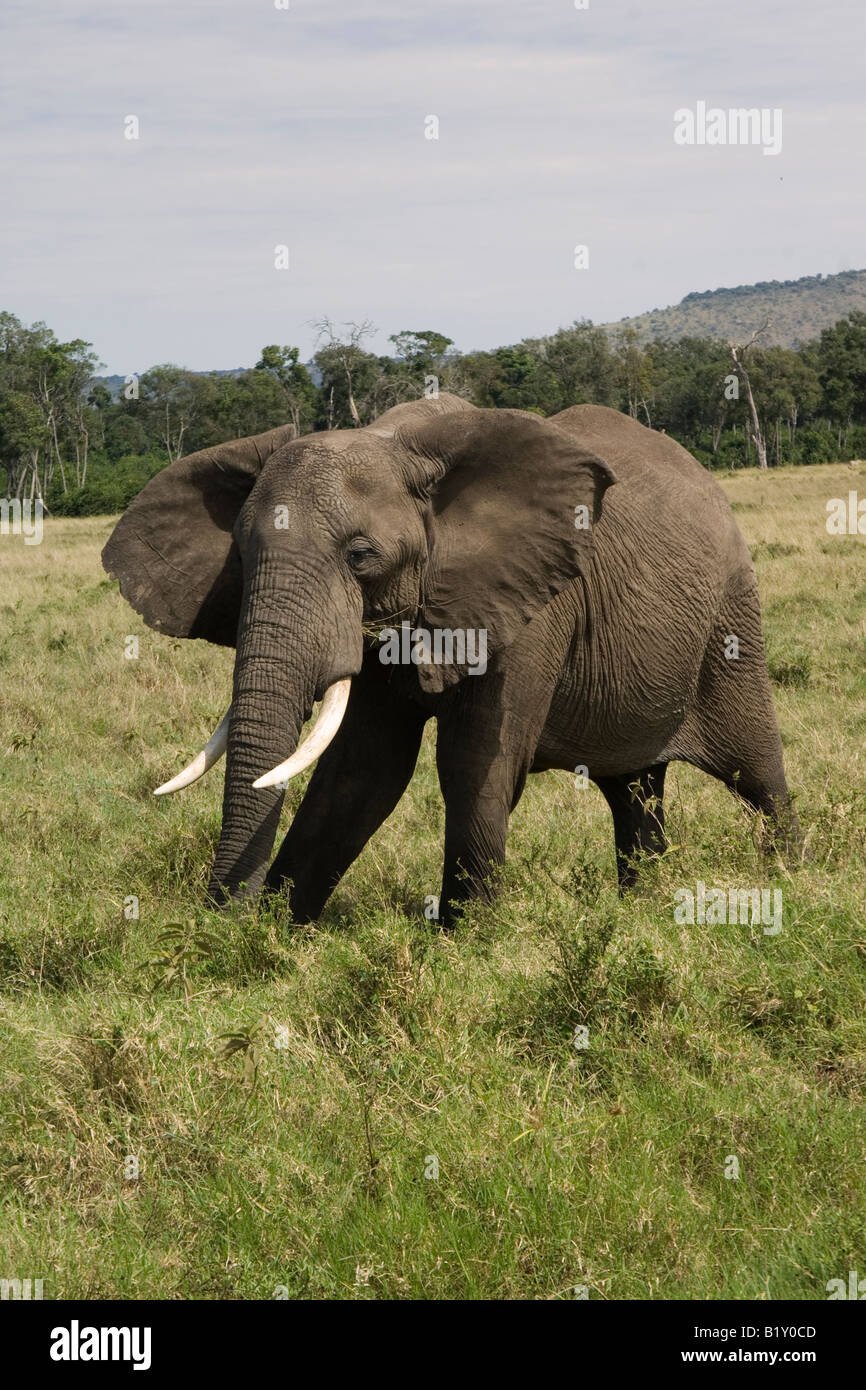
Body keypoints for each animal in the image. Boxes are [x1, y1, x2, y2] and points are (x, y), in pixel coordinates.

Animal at [102, 393, 799, 928]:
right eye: (242, 557)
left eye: (361, 556)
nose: (220, 920)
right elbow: (362, 772)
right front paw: (282, 933)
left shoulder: (533, 605)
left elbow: (475, 762)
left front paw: (465, 940)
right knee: (633, 790)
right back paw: (641, 903)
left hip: (732, 619)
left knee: (757, 771)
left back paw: (791, 881)